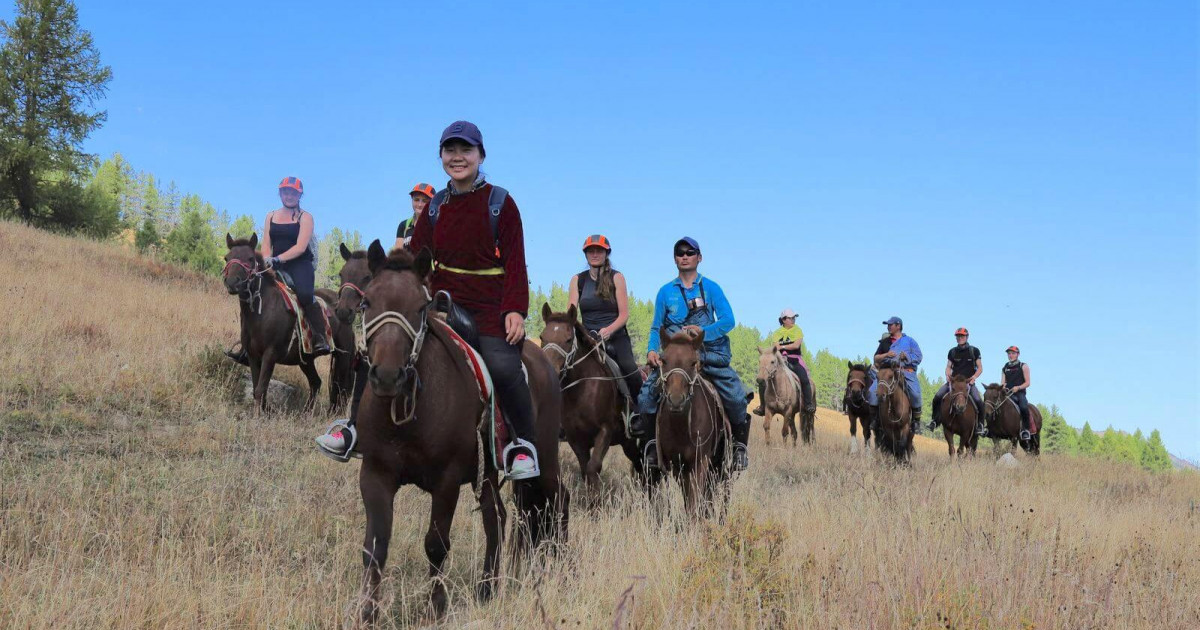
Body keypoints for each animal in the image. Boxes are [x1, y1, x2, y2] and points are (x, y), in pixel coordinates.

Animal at [222, 233, 331, 412]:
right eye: (227, 258)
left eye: (250, 258)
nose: (232, 282)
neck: (263, 310)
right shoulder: (252, 355)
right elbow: (257, 388)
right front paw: (263, 411)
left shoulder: (270, 354)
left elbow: (260, 389)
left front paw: (258, 415)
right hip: (306, 360)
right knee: (315, 383)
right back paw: (306, 412)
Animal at [353, 242, 568, 623]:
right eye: (367, 303)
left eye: (420, 308)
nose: (387, 376)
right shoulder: (375, 474)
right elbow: (374, 547)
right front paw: (368, 613)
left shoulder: (447, 480)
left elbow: (436, 544)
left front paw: (435, 609)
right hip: (487, 476)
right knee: (497, 519)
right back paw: (488, 587)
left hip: (545, 461)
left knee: (558, 502)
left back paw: (561, 571)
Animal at [539, 304, 642, 499]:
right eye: (542, 337)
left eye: (568, 339)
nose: (549, 371)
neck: (581, 390)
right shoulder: (576, 438)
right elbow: (585, 471)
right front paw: (593, 503)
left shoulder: (605, 431)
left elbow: (593, 468)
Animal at [652, 328, 730, 518]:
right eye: (663, 360)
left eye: (694, 362)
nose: (676, 400)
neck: (681, 429)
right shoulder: (676, 465)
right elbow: (689, 500)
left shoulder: (700, 462)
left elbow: (695, 502)